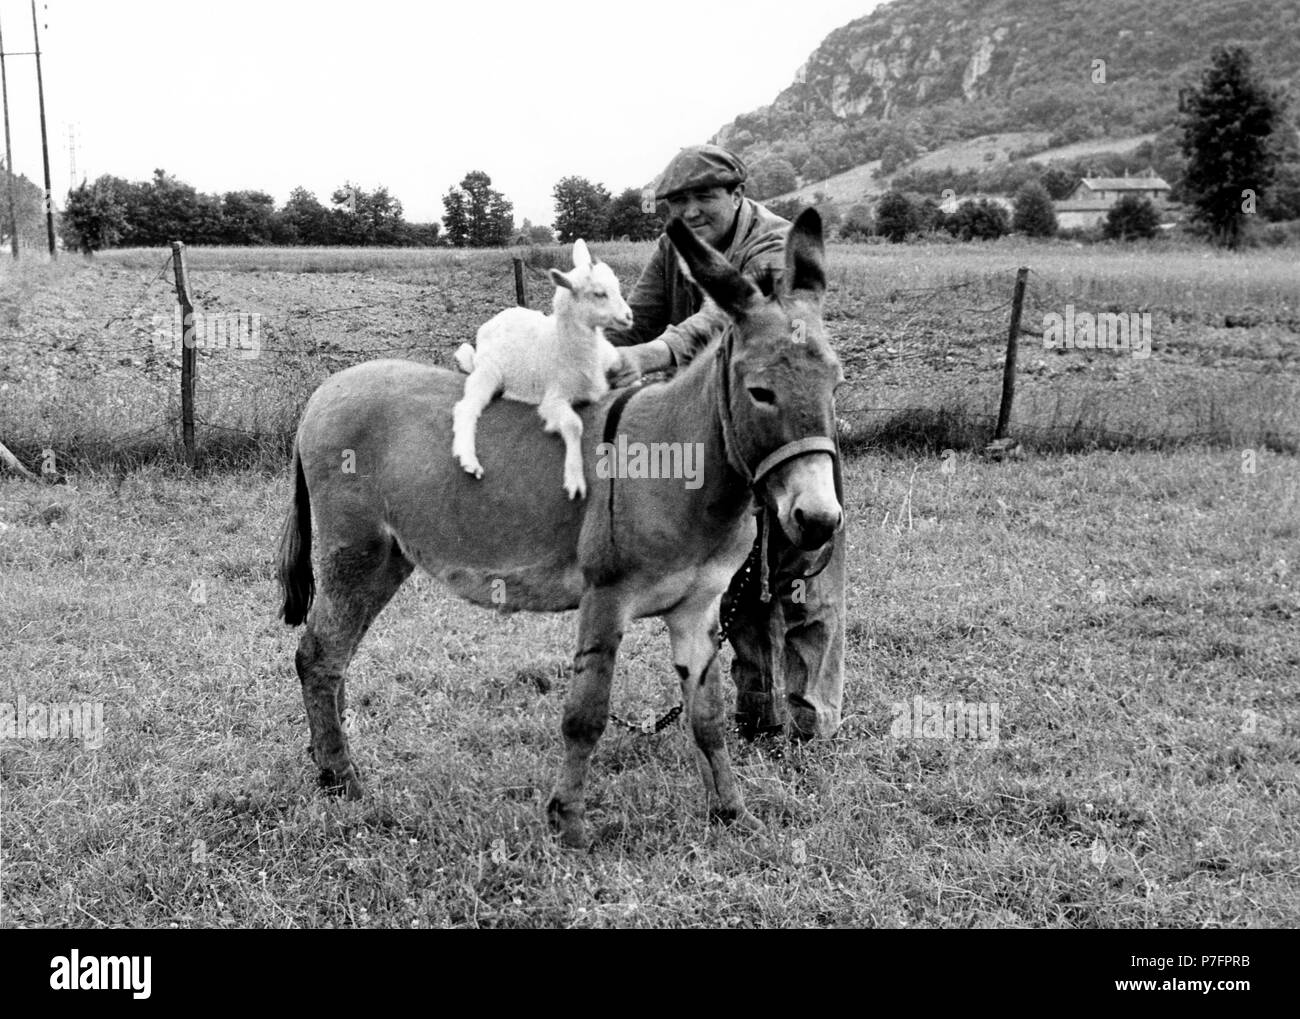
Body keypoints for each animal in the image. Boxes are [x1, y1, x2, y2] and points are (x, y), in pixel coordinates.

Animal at [451, 239, 632, 499]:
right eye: (599, 294)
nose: (629, 316)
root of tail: (494, 320)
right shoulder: (554, 396)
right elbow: (573, 425)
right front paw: (575, 479)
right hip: (488, 371)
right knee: (466, 408)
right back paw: (469, 460)